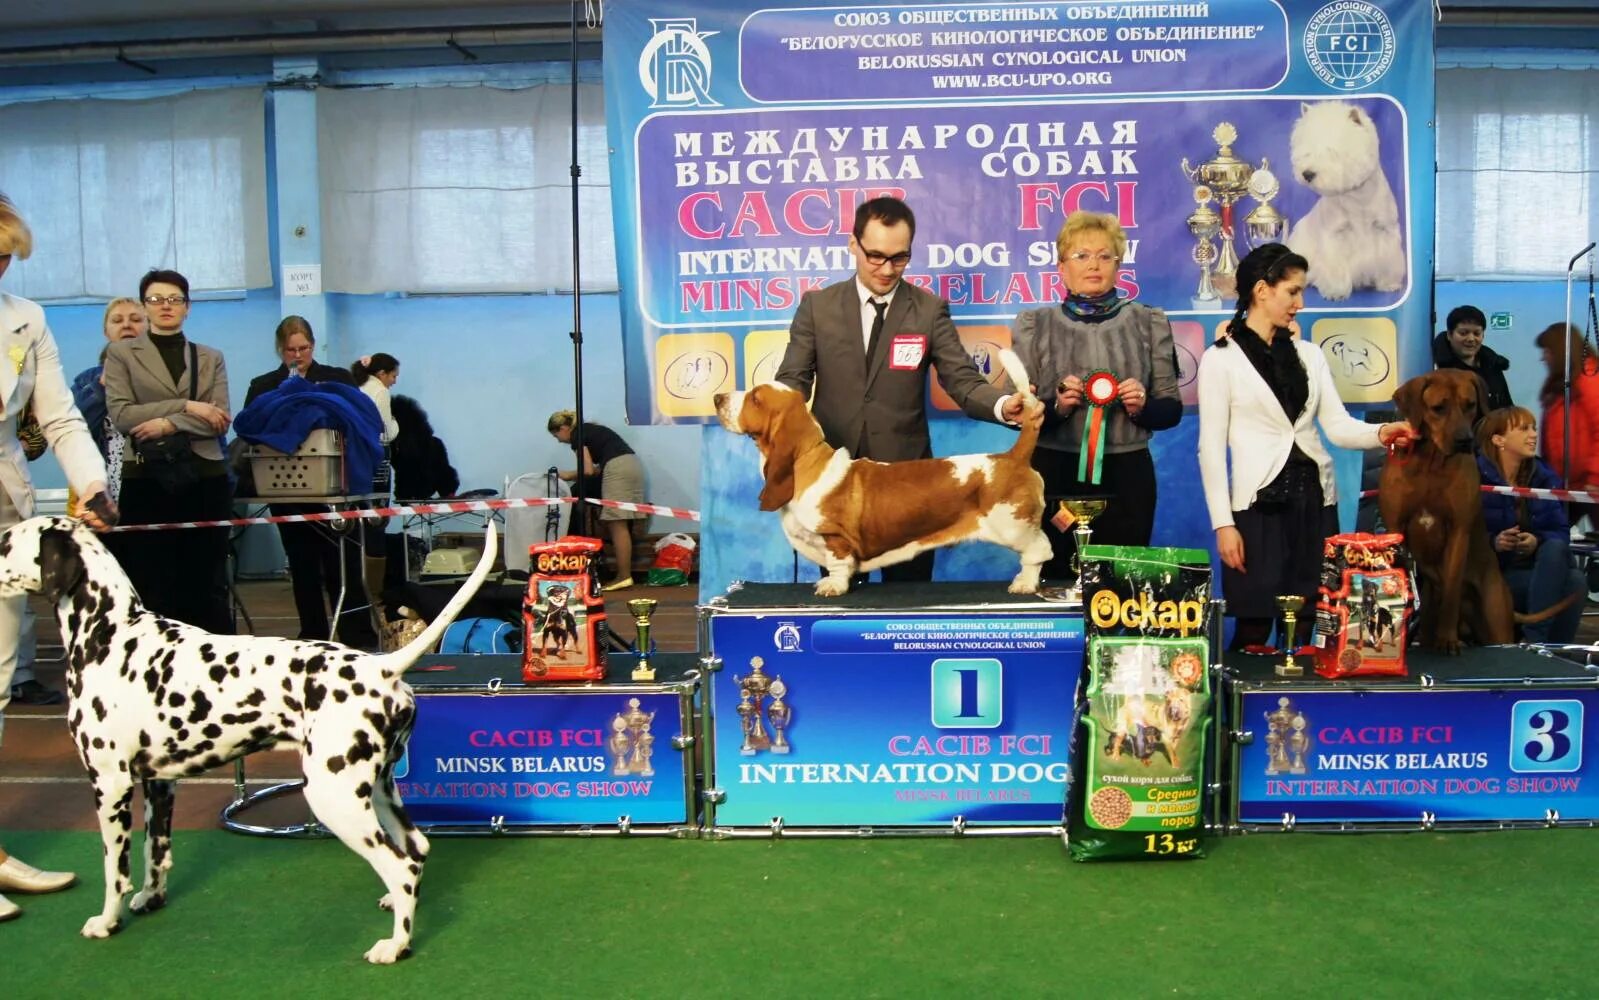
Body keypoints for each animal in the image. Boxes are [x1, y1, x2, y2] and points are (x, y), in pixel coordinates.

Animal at [0, 515, 495, 960]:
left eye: (6, 540)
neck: (111, 634)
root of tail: (382, 666)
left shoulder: (110, 783)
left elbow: (113, 868)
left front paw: (106, 921)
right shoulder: (159, 783)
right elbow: (154, 851)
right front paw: (151, 899)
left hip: (334, 797)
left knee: (401, 863)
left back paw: (395, 945)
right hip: (378, 789)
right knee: (415, 849)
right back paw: (395, 903)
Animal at [1381, 371, 1579, 652]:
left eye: (1470, 405)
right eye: (1438, 408)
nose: (1465, 440)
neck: (1432, 462)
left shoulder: (1458, 532)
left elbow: (1452, 587)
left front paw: (1448, 639)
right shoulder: (1395, 528)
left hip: (1496, 616)